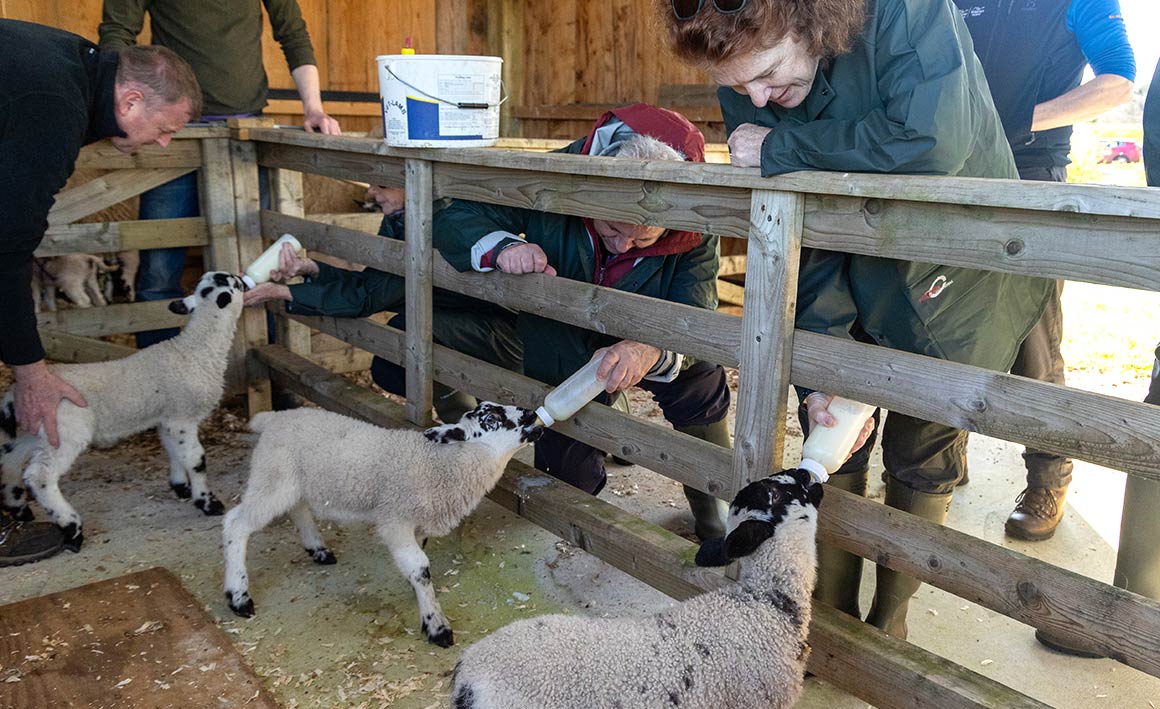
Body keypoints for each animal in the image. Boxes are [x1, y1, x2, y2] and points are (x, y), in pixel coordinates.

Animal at [0, 272, 247, 551]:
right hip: (64, 431)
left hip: (28, 429)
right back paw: (72, 528)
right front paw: (207, 501)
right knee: (39, 476)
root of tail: (14, 393)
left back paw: (19, 509)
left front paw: (180, 486)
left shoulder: (167, 418)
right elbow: (196, 460)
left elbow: (174, 452)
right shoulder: (181, 416)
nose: (241, 277)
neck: (194, 350)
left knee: (9, 461)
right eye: (231, 283)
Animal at [222, 402, 543, 648]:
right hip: (273, 476)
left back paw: (317, 549)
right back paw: (238, 596)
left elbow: (418, 565)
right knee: (236, 523)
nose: (531, 415)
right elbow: (420, 567)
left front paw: (417, 592)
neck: (441, 464)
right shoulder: (394, 519)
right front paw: (436, 625)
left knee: (297, 507)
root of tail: (273, 418)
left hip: (294, 481)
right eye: (491, 420)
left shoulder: (418, 523)